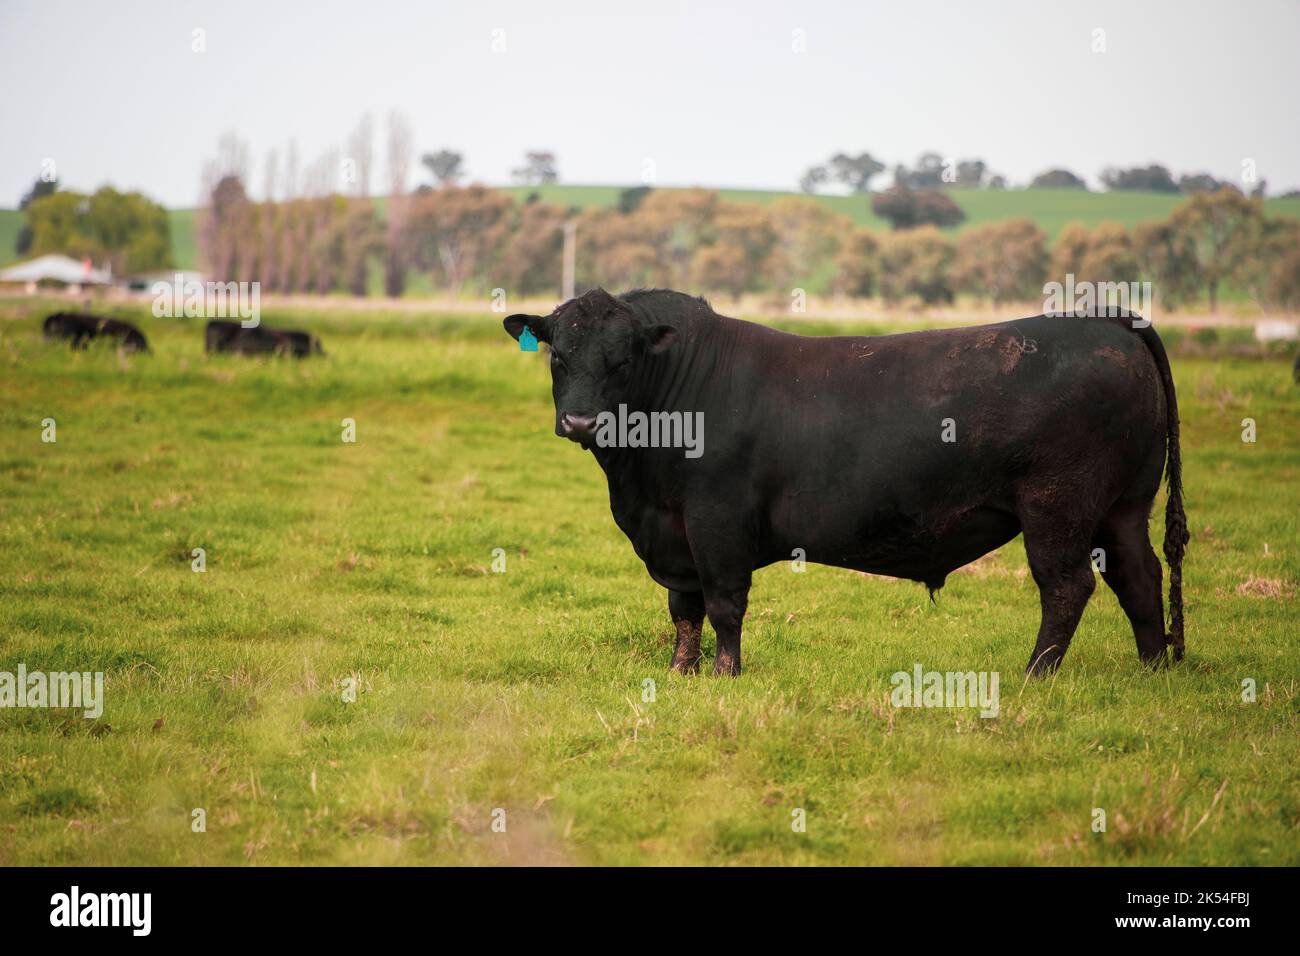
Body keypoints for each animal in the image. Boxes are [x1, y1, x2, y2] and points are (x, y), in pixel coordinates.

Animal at [504, 288, 1188, 678]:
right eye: (558, 356)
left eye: (622, 360)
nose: (580, 421)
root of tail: (1105, 322)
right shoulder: (674, 532)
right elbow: (684, 607)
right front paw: (679, 674)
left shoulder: (716, 518)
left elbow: (723, 602)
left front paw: (725, 675)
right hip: (1124, 505)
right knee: (1139, 575)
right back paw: (1153, 668)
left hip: (1057, 506)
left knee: (1067, 587)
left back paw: (1035, 676)